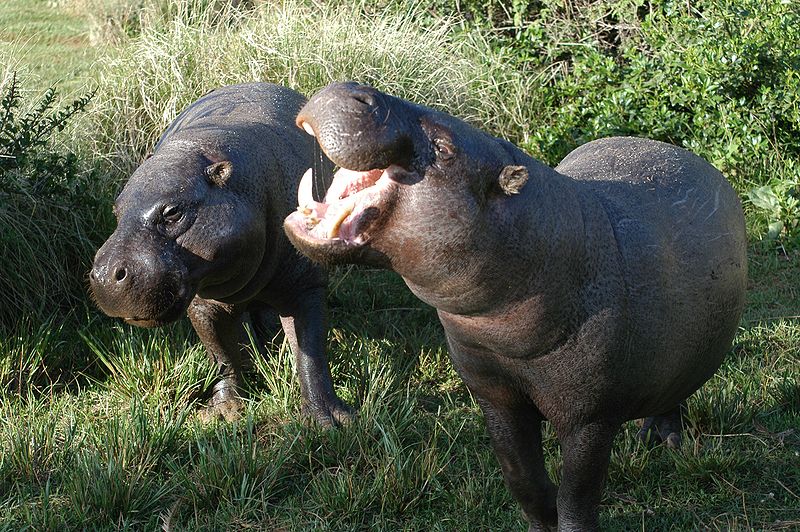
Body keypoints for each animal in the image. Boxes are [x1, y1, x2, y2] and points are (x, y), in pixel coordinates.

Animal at [89, 82, 350, 426]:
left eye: (172, 212)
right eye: (116, 211)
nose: (106, 274)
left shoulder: (306, 286)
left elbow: (311, 354)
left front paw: (329, 421)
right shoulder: (202, 303)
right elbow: (222, 355)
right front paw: (224, 413)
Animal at [283, 82, 747, 530]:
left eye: (445, 147)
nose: (352, 89)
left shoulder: (590, 417)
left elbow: (578, 495)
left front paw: (567, 519)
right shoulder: (495, 394)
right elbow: (521, 478)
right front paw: (544, 518)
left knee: (677, 391)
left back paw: (663, 440)